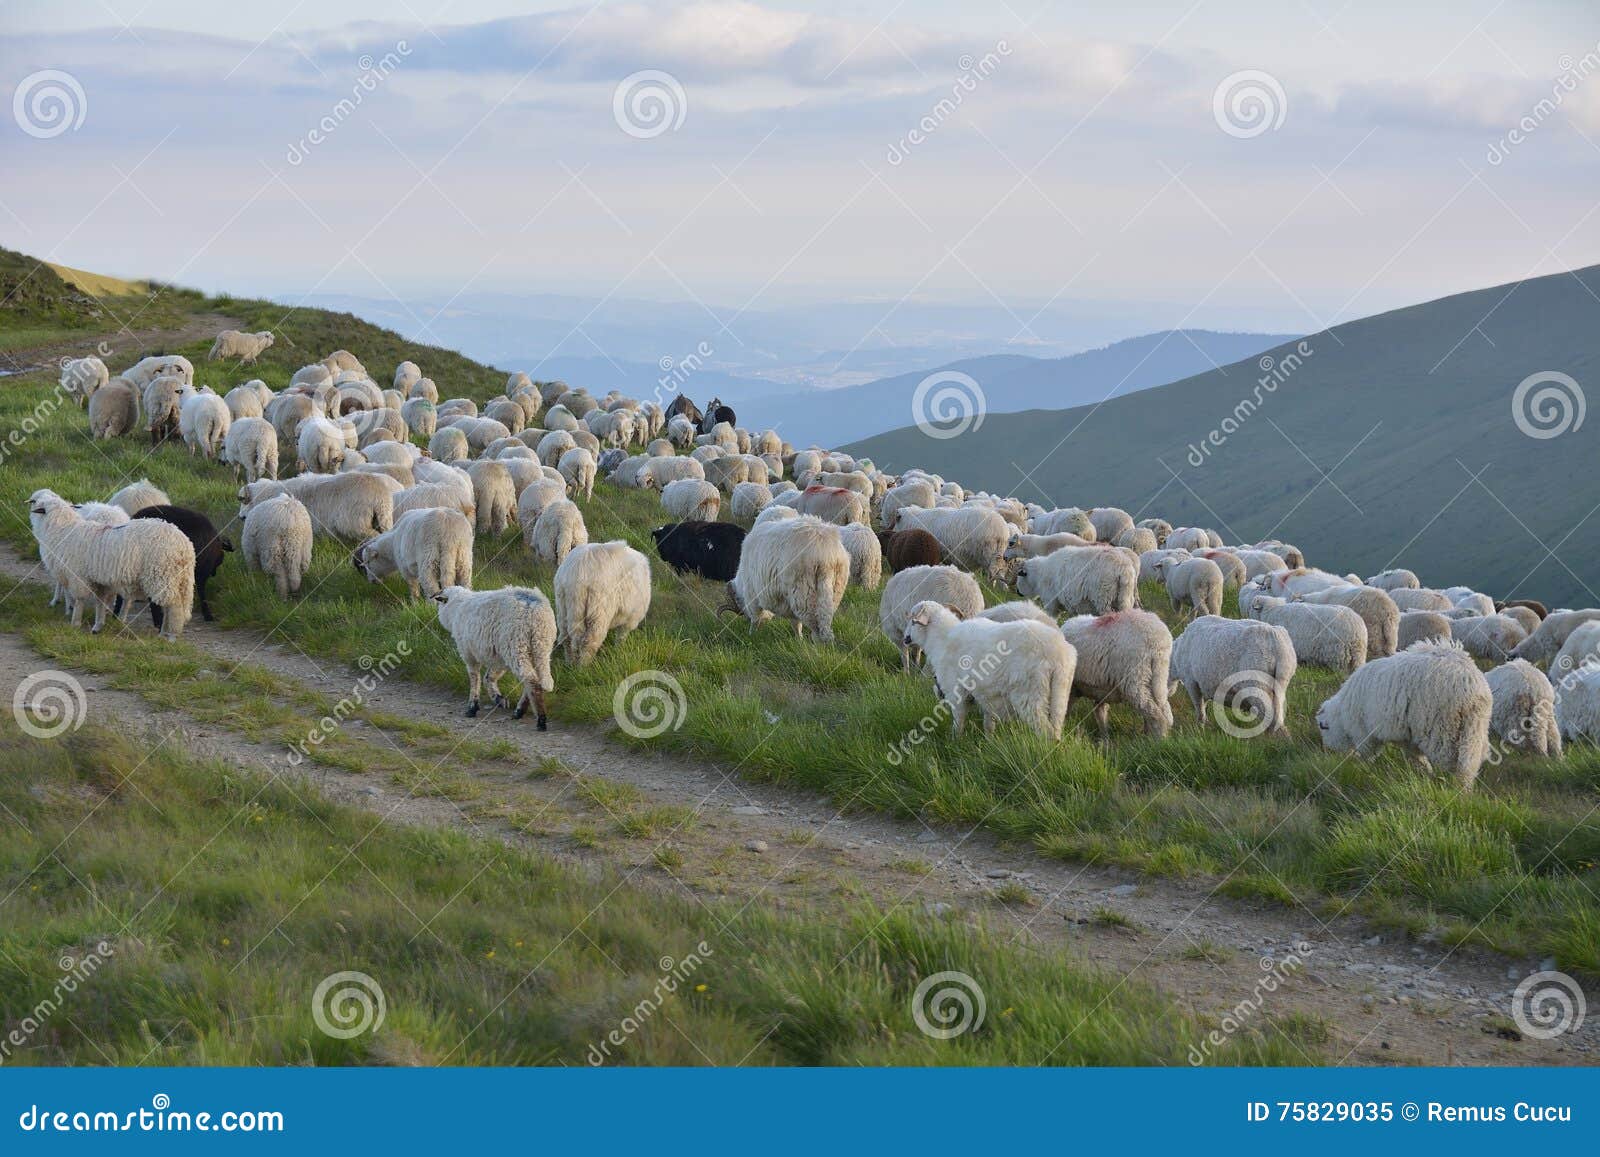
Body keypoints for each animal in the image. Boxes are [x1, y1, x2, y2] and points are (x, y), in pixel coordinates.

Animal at [433, 585, 556, 727]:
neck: (456, 609)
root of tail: (533, 607)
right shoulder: (498, 658)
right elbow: (489, 677)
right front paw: (499, 699)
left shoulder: (469, 654)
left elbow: (475, 678)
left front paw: (472, 707)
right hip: (540, 646)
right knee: (536, 678)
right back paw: (520, 711)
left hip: (516, 646)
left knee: (531, 680)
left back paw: (539, 719)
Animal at [720, 515, 850, 643]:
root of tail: (826, 552)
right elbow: (796, 623)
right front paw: (799, 640)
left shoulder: (752, 596)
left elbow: (756, 619)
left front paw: (752, 635)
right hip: (834, 590)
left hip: (803, 594)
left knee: (816, 627)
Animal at [902, 602, 1076, 739]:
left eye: (913, 621)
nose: (905, 638)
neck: (941, 639)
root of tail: (1057, 653)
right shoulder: (986, 695)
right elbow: (988, 723)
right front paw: (989, 742)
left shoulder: (955, 692)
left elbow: (959, 721)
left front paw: (955, 741)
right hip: (1061, 693)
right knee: (1056, 728)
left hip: (1030, 695)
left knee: (1046, 732)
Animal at [1168, 615, 1296, 736]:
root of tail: (1275, 639)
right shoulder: (1205, 684)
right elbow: (1203, 705)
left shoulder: (1192, 682)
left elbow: (1199, 707)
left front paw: (1200, 728)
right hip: (1281, 682)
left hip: (1257, 682)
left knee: (1270, 718)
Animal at [1316, 640, 1492, 787]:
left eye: (1323, 727)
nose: (1327, 752)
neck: (1341, 715)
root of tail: (1471, 684)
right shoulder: (1408, 734)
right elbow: (1415, 755)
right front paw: (1422, 771)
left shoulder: (1363, 732)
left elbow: (1368, 754)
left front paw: (1363, 767)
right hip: (1475, 729)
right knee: (1470, 762)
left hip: (1442, 729)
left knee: (1454, 763)